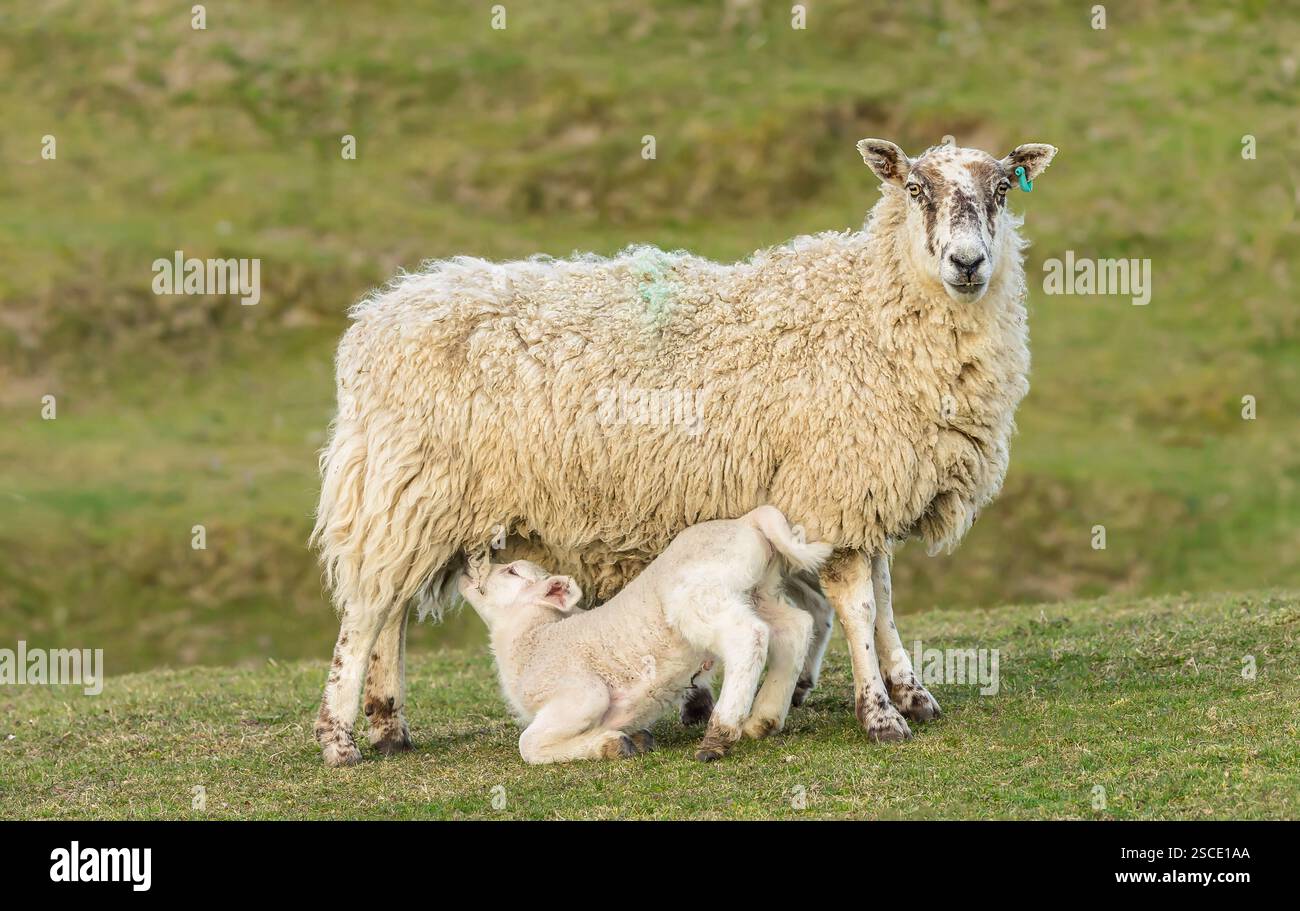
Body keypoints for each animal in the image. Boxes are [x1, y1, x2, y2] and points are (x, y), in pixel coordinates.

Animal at [459, 506, 828, 763]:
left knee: (748, 637)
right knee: (795, 627)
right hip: (759, 591)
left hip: (699, 596)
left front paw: (609, 746)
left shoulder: (581, 693)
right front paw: (629, 740)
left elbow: (529, 745)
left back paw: (719, 735)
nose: (465, 568)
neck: (534, 638)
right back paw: (763, 720)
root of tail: (748, 520)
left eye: (512, 571)